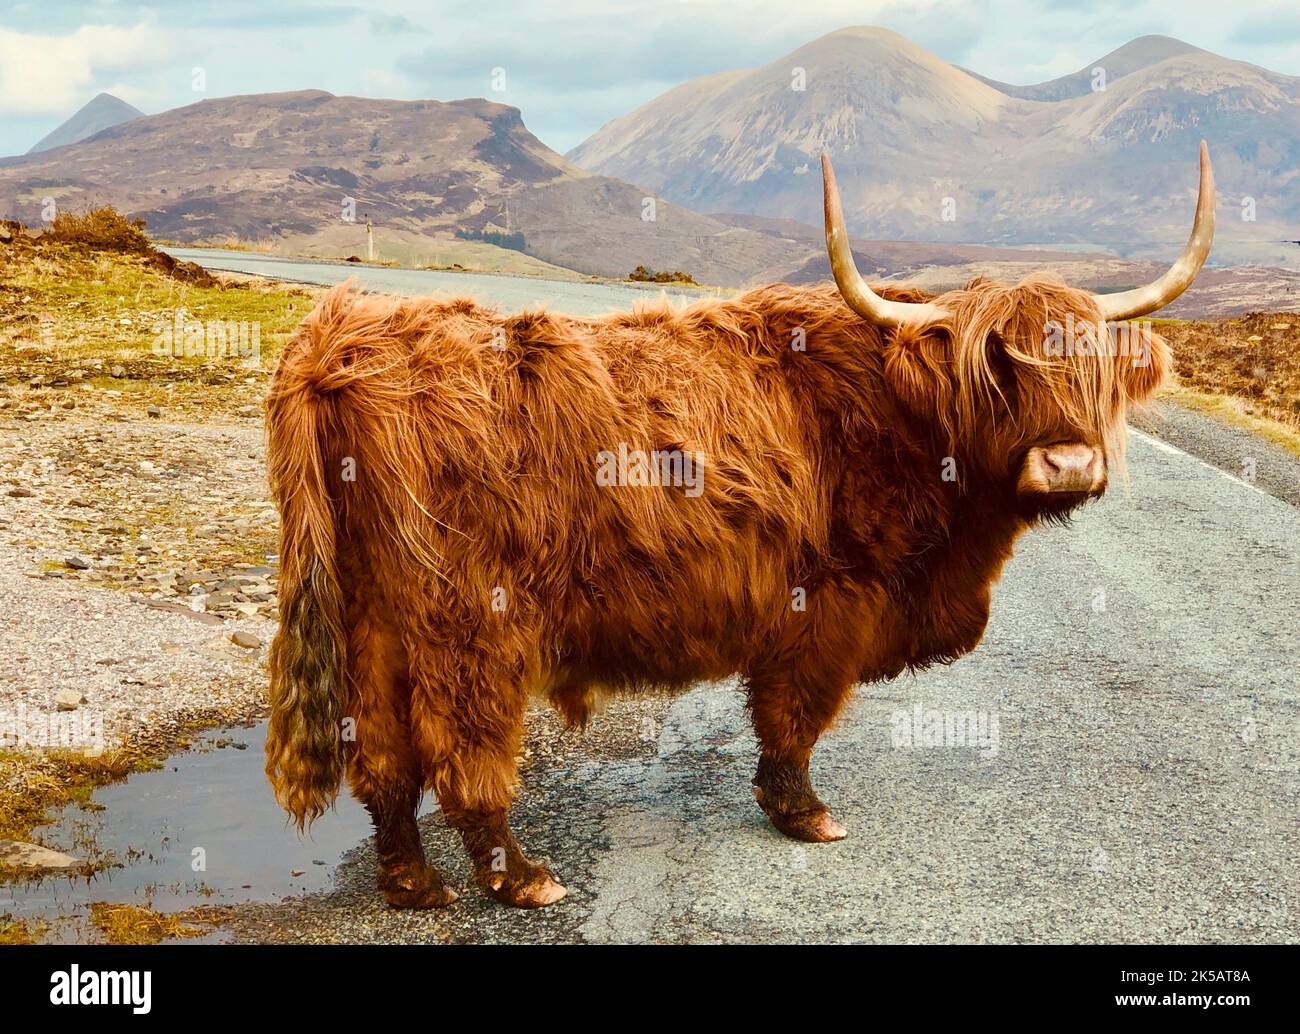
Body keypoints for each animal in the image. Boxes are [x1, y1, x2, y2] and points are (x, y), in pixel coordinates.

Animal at [265, 142, 1215, 909]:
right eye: (996, 369)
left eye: (1090, 370)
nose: (1069, 463)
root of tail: (340, 341)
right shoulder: (831, 600)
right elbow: (795, 714)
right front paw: (803, 813)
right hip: (468, 618)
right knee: (462, 750)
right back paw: (522, 876)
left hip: (373, 617)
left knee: (382, 754)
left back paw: (411, 883)